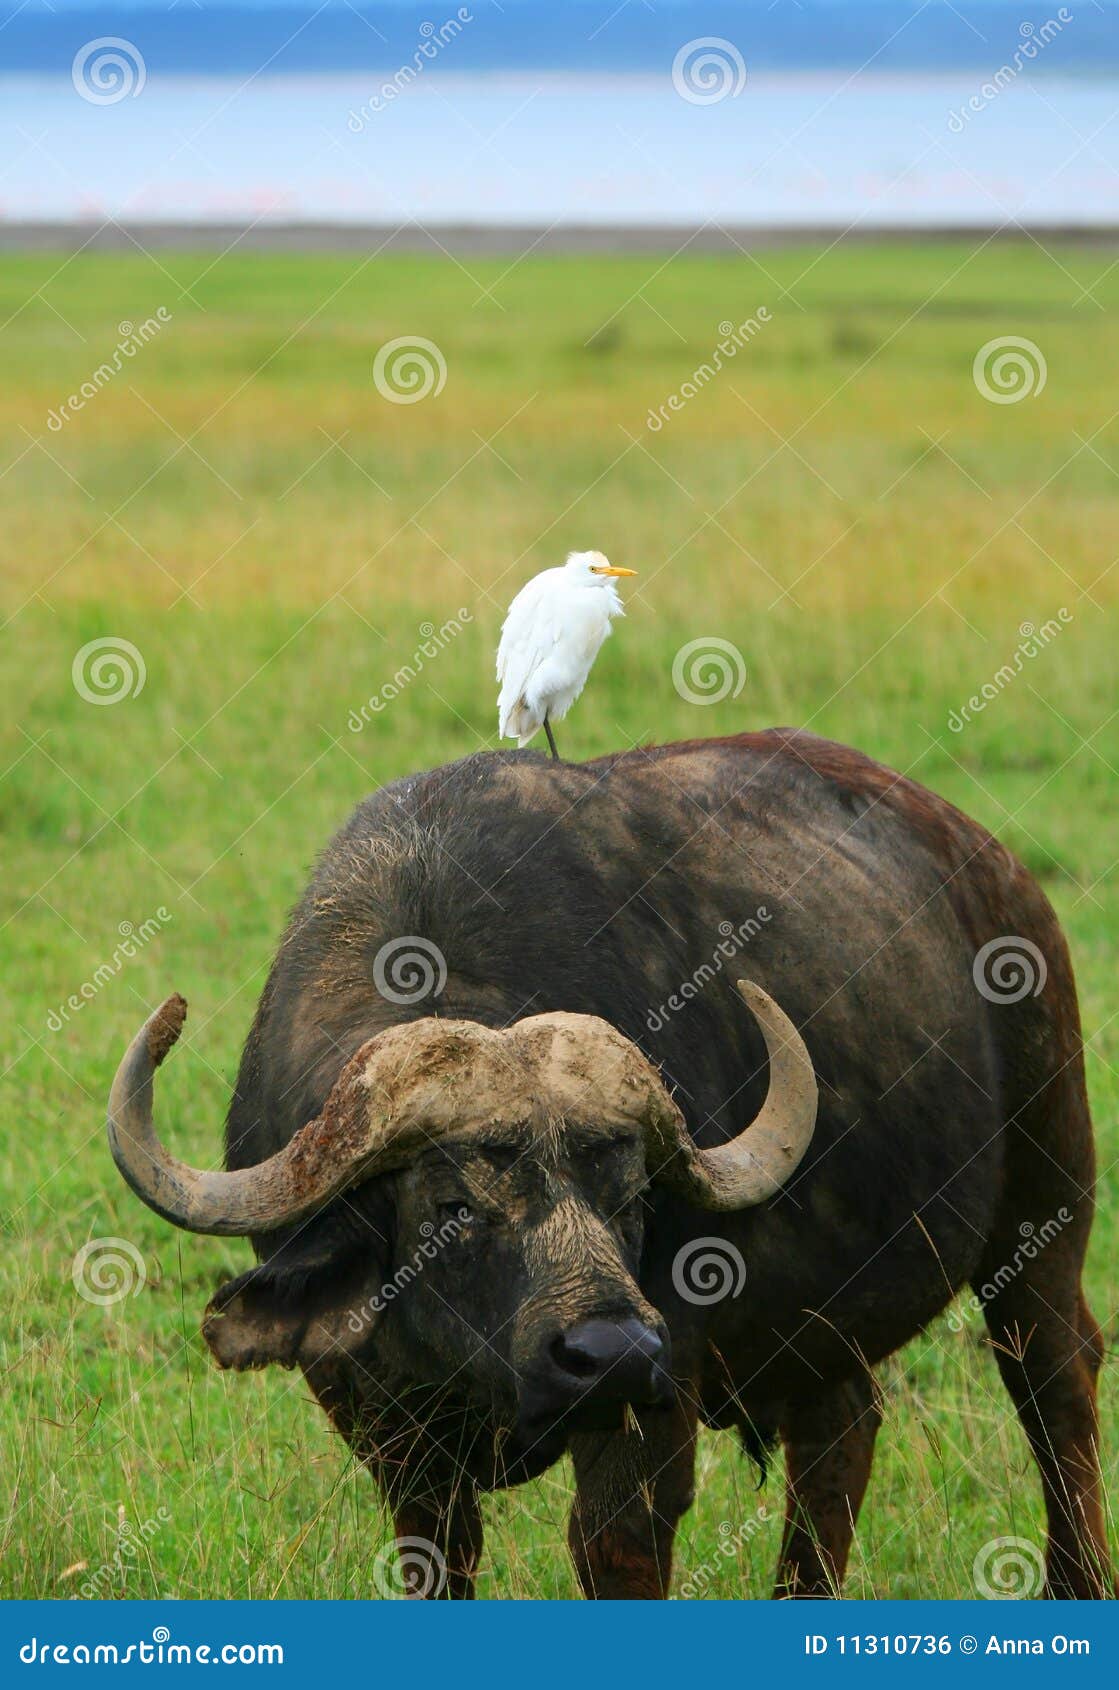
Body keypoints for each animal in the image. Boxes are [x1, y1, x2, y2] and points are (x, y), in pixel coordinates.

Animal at [107, 730, 1112, 1599]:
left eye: (629, 1203)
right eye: (452, 1210)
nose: (612, 1354)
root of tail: (994, 872)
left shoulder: (655, 1411)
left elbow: (614, 1545)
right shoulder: (377, 1416)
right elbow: (439, 1550)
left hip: (1046, 1201)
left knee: (1054, 1380)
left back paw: (1073, 1581)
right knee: (841, 1432)